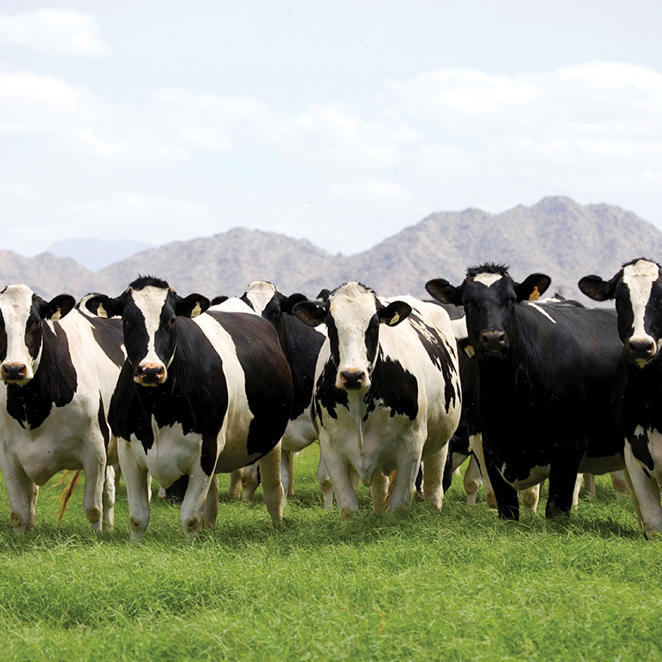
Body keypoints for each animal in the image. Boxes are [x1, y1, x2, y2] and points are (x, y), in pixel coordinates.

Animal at [0, 284, 123, 532]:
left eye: (35, 323)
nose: (14, 369)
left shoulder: (95, 447)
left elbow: (93, 508)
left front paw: (97, 538)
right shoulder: (8, 454)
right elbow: (18, 513)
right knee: (109, 490)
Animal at [83, 276, 292, 539]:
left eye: (172, 320)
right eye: (127, 321)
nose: (150, 370)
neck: (157, 408)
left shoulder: (207, 448)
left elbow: (190, 517)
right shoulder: (128, 449)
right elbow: (138, 517)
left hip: (271, 441)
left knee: (274, 490)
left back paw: (277, 525)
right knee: (211, 503)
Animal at [292, 282, 462, 518]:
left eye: (374, 325)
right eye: (331, 326)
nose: (352, 375)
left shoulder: (412, 445)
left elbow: (400, 505)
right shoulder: (331, 447)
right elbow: (348, 508)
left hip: (441, 441)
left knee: (433, 487)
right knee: (380, 489)